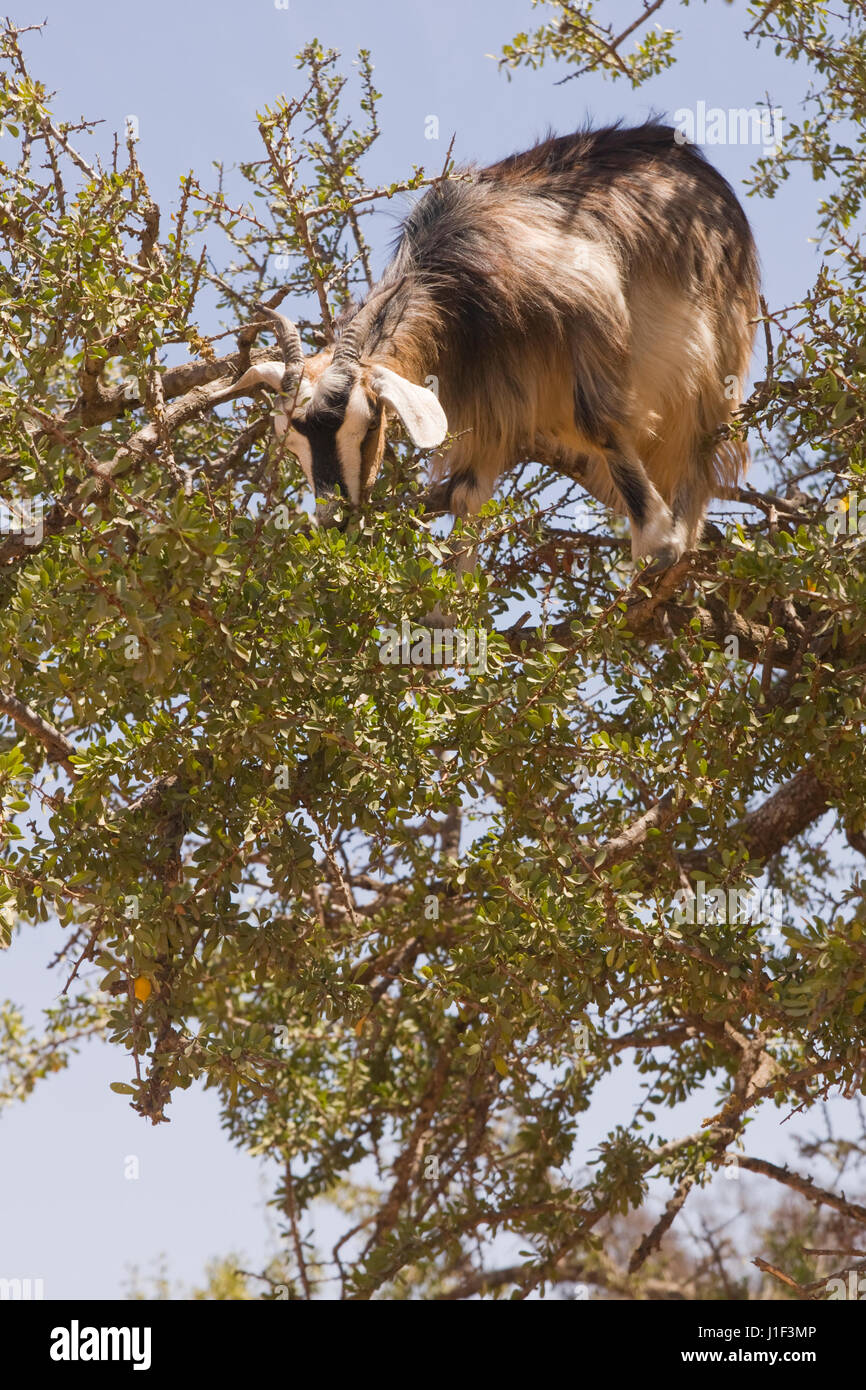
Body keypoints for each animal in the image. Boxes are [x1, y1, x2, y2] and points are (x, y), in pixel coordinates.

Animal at [231, 121, 760, 568]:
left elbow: (597, 419)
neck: (451, 268)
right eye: (289, 439)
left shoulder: (590, 304)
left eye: (368, 421)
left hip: (716, 343)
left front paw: (658, 542)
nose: (334, 519)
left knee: (702, 435)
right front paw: (446, 614)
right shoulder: (482, 377)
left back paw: (681, 541)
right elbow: (467, 489)